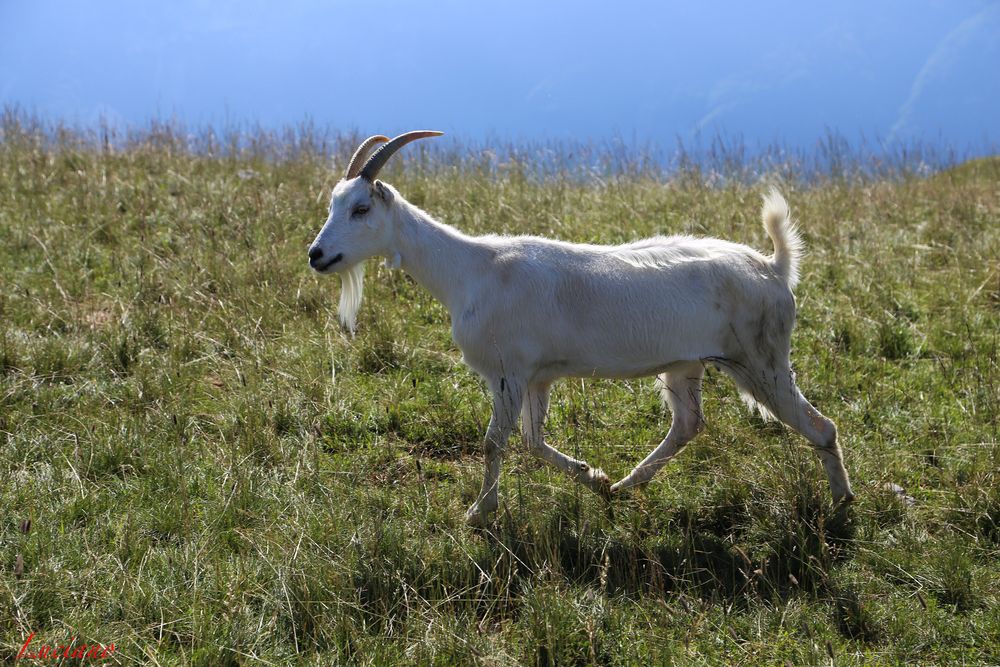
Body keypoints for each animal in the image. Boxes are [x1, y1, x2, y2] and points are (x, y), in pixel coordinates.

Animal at [308, 131, 856, 527]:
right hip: (687, 365)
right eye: (334, 204)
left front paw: (478, 514)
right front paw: (593, 477)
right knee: (688, 424)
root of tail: (773, 268)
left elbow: (494, 443)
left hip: (761, 360)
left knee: (821, 427)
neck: (471, 270)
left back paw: (842, 507)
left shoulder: (507, 373)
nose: (317, 255)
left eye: (361, 208)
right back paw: (625, 486)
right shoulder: (537, 377)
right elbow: (531, 440)